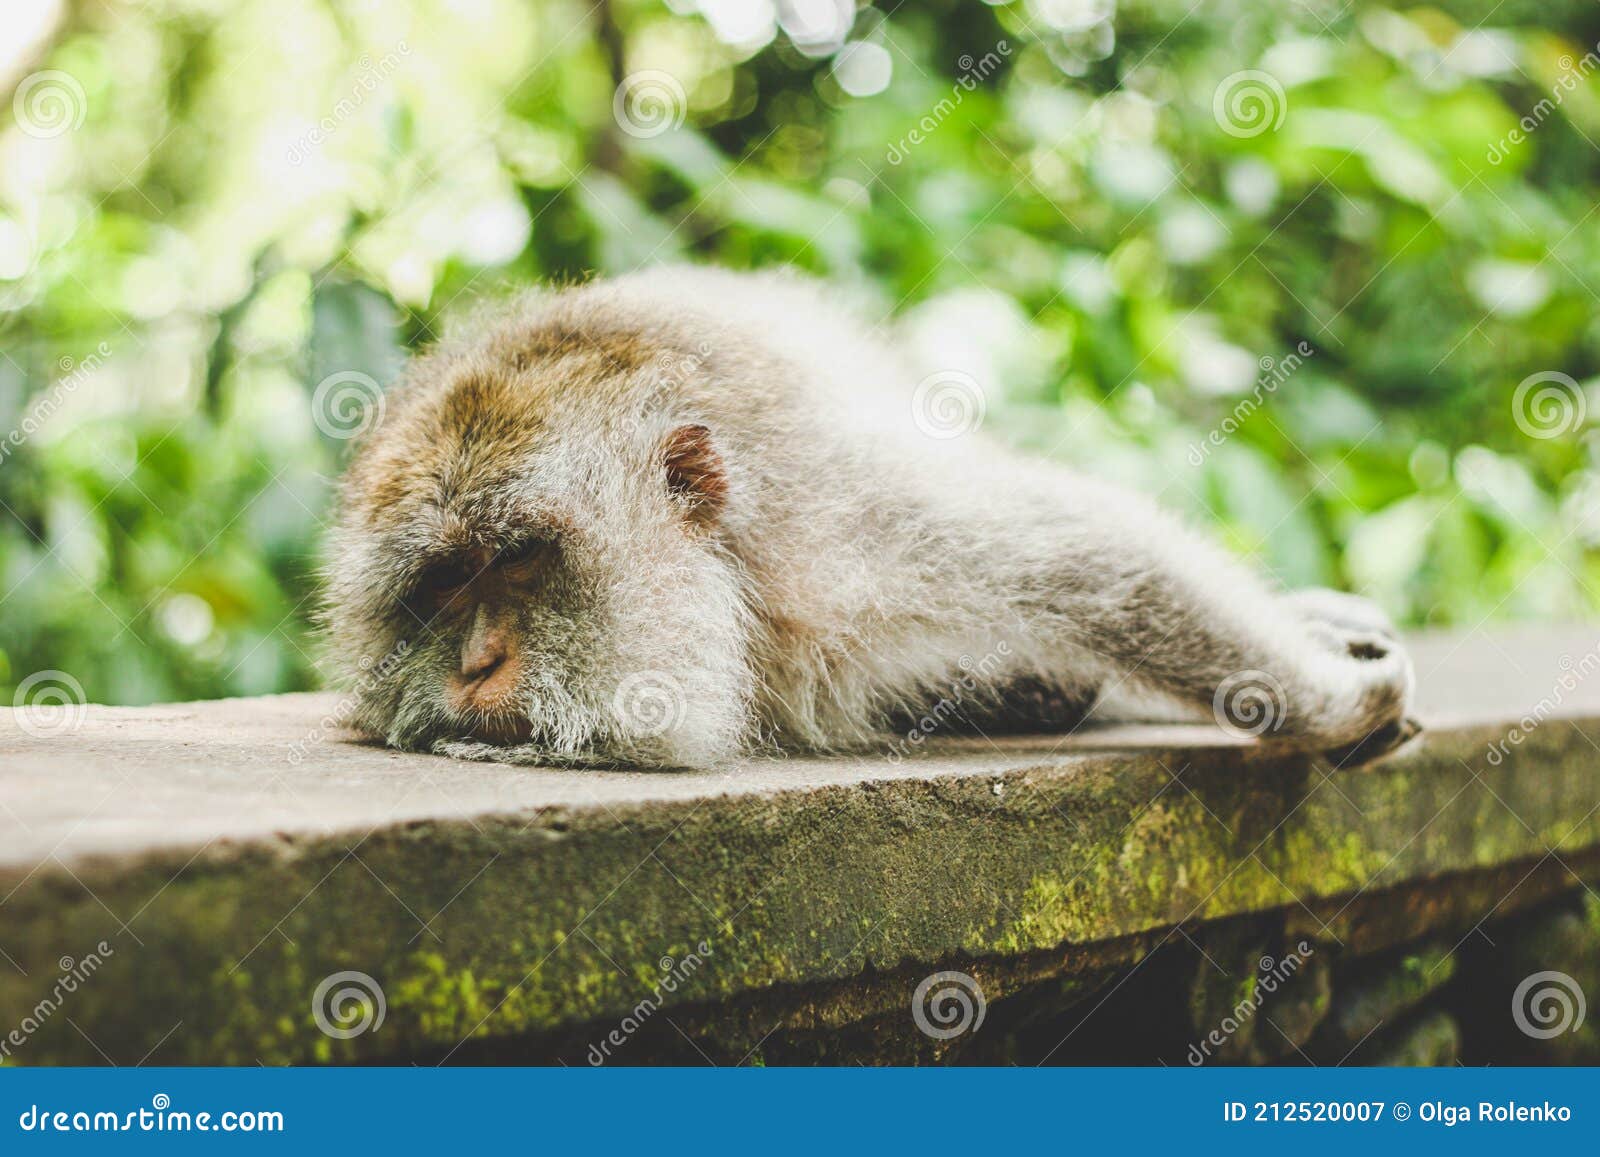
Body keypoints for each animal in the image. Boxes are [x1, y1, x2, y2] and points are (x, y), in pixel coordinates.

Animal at [322, 265, 1417, 771]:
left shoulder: (836, 535)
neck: (734, 576)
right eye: (441, 585)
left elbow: (1089, 555)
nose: (474, 662)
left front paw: (1328, 700)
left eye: (513, 562)